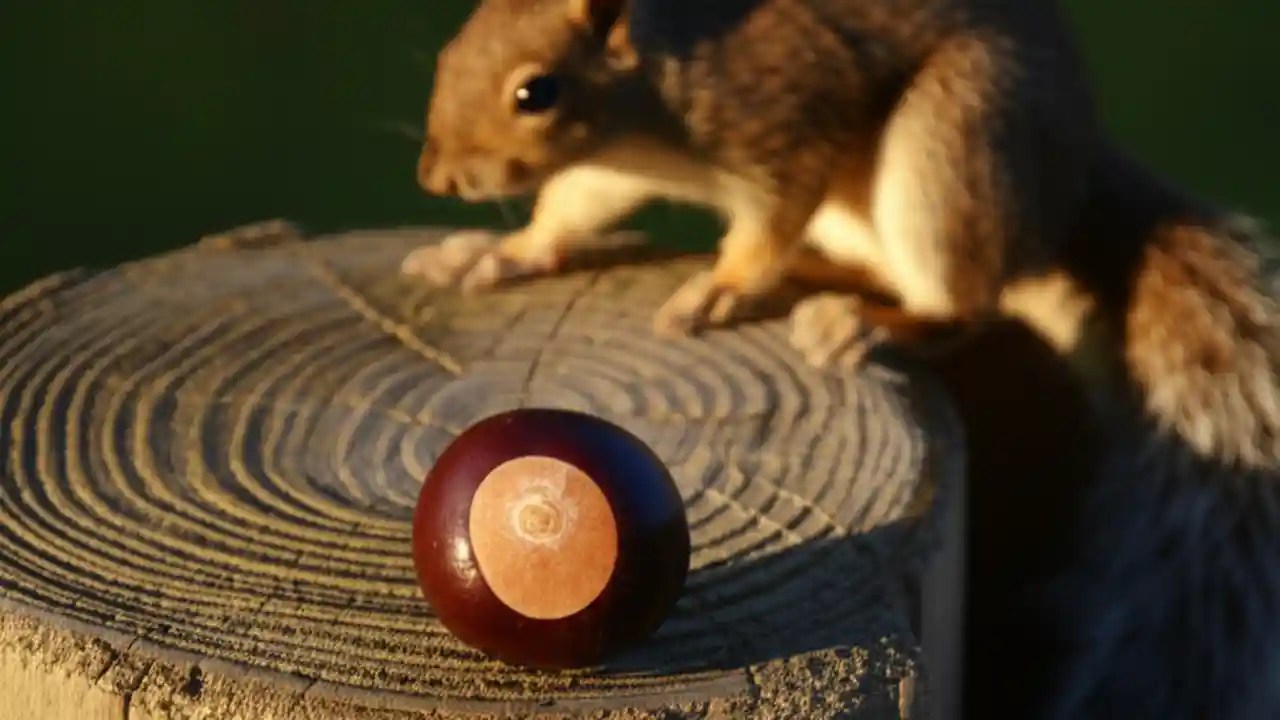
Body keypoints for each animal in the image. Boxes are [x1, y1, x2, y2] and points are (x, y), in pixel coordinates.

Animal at [406, 0, 1280, 717]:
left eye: (536, 93)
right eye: (446, 52)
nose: (435, 175)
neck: (647, 103)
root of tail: (1063, 206)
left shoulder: (786, 110)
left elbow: (768, 218)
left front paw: (718, 290)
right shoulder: (609, 166)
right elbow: (573, 206)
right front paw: (504, 254)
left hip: (950, 147)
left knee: (963, 304)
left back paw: (862, 323)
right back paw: (822, 282)